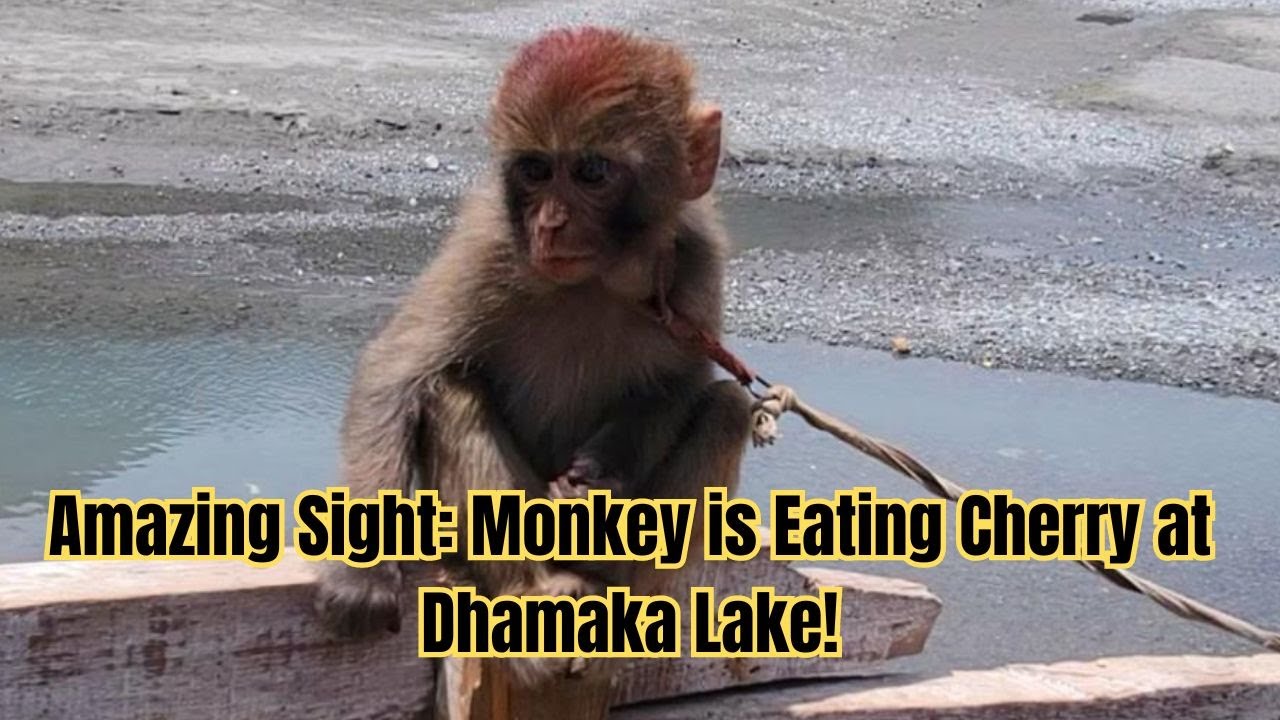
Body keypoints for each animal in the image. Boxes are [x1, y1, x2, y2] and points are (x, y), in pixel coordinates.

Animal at [315, 26, 753, 685]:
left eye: (592, 170)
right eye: (535, 170)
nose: (550, 223)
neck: (600, 279)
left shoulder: (696, 254)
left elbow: (679, 381)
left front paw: (601, 474)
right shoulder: (490, 246)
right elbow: (395, 371)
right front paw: (359, 575)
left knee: (728, 408)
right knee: (450, 390)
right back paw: (534, 592)